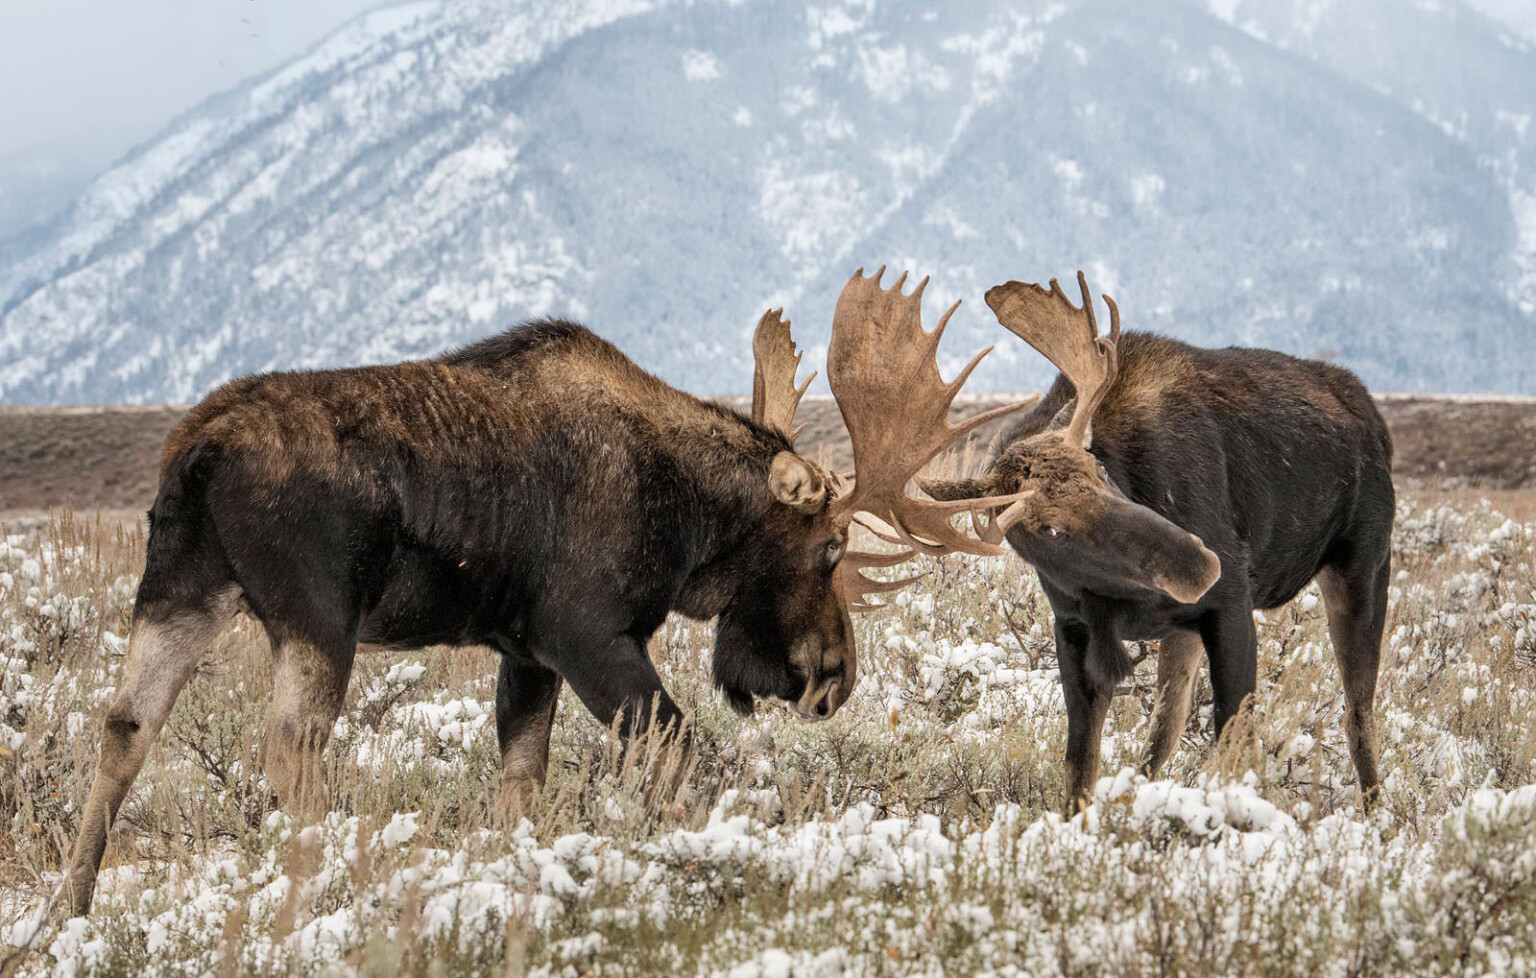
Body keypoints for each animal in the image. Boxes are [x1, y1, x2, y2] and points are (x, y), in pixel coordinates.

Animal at [61, 269, 1025, 917]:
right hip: (316, 615)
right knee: (290, 750)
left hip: (180, 589)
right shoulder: (588, 636)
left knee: (125, 726)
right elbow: (682, 755)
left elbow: (519, 786)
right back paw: (340, 883)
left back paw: (66, 910)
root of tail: (198, 453)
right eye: (829, 548)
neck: (690, 518)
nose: (835, 676)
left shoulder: (526, 656)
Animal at [922, 272, 1395, 812]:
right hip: (1185, 629)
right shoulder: (1073, 626)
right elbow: (1081, 764)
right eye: (1051, 530)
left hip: (1364, 567)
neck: (1114, 599)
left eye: (1100, 470)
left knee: (1358, 715)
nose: (1200, 564)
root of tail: (1376, 421)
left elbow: (1238, 744)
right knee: (1166, 727)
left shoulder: (1231, 605)